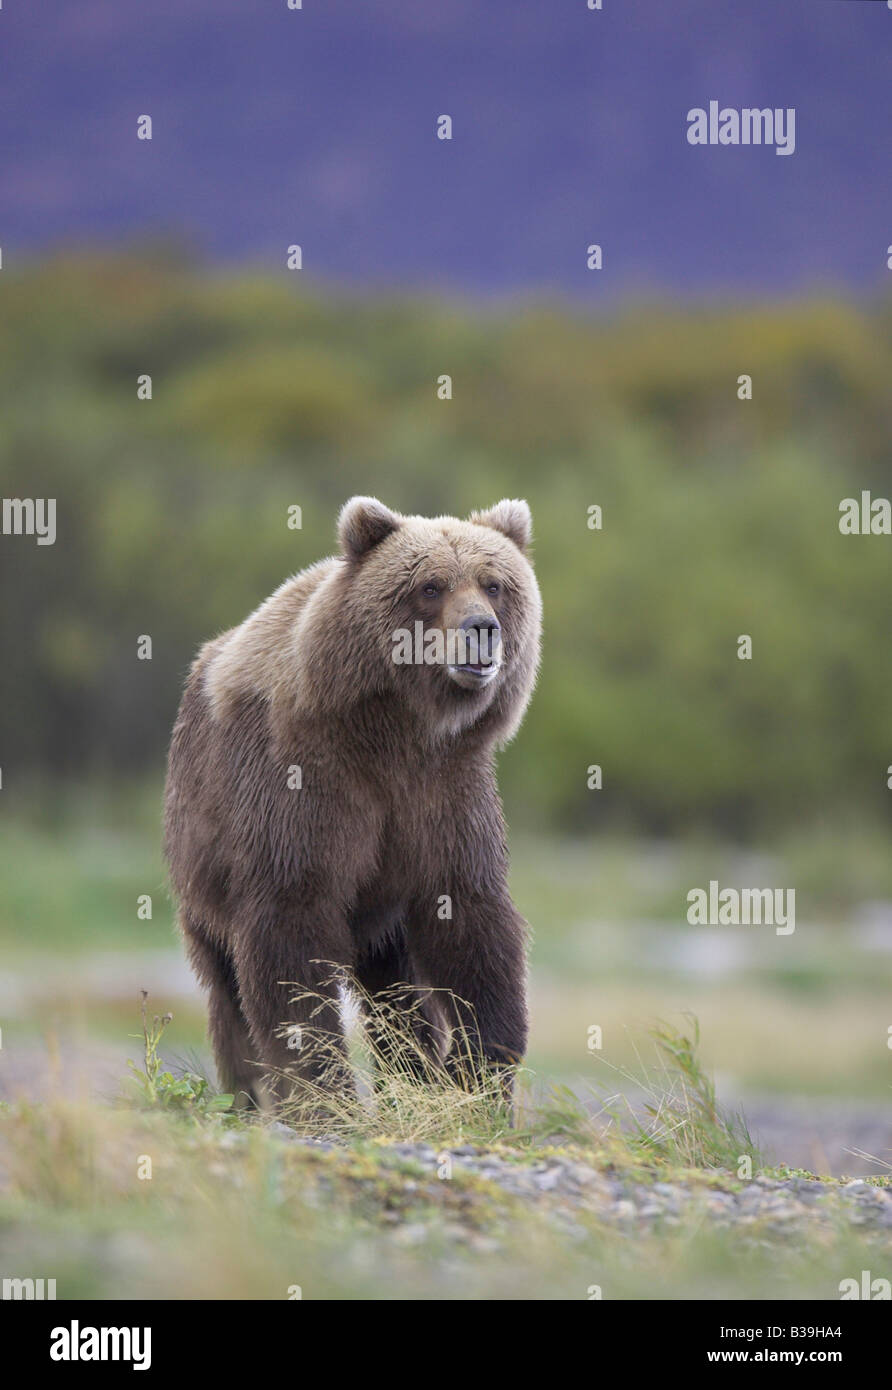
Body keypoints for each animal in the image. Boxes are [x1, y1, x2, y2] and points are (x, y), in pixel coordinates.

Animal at [163, 496, 541, 1110]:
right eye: (431, 586)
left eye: (494, 583)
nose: (481, 629)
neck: (393, 732)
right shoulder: (302, 788)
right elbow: (289, 932)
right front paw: (323, 1093)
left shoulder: (446, 794)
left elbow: (472, 922)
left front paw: (474, 1078)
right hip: (200, 855)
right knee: (225, 990)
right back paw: (248, 1096)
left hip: (383, 920)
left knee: (397, 995)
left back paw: (410, 1077)